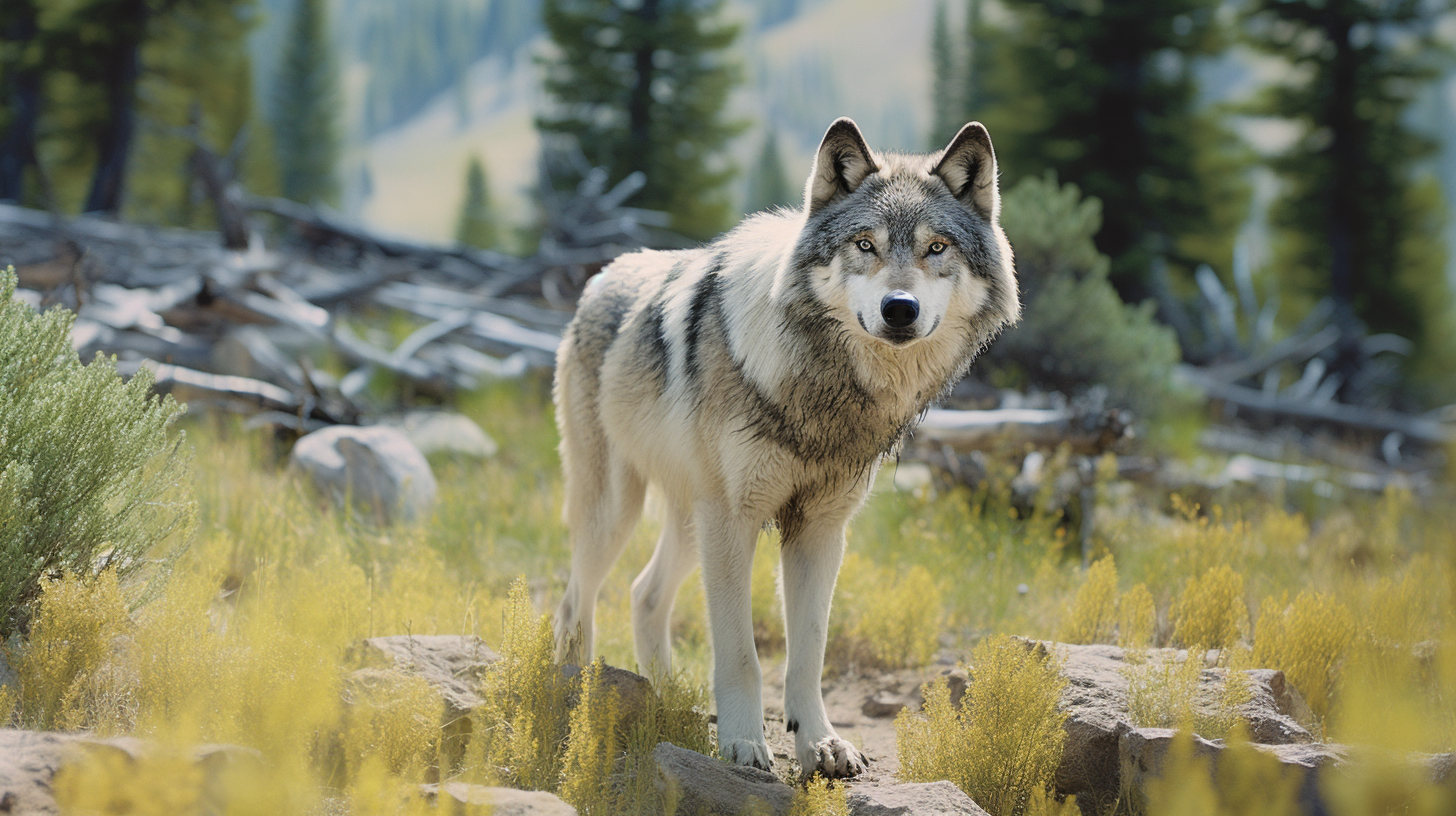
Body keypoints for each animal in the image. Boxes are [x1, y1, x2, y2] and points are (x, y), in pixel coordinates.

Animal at [552, 117, 1019, 778]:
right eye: (865, 245)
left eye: (937, 248)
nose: (899, 309)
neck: (823, 391)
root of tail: (604, 273)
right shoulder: (735, 520)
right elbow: (741, 654)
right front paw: (743, 744)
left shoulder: (820, 531)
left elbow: (809, 651)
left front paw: (820, 744)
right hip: (620, 513)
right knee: (576, 602)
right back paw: (577, 691)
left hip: (689, 523)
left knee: (644, 595)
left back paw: (667, 700)